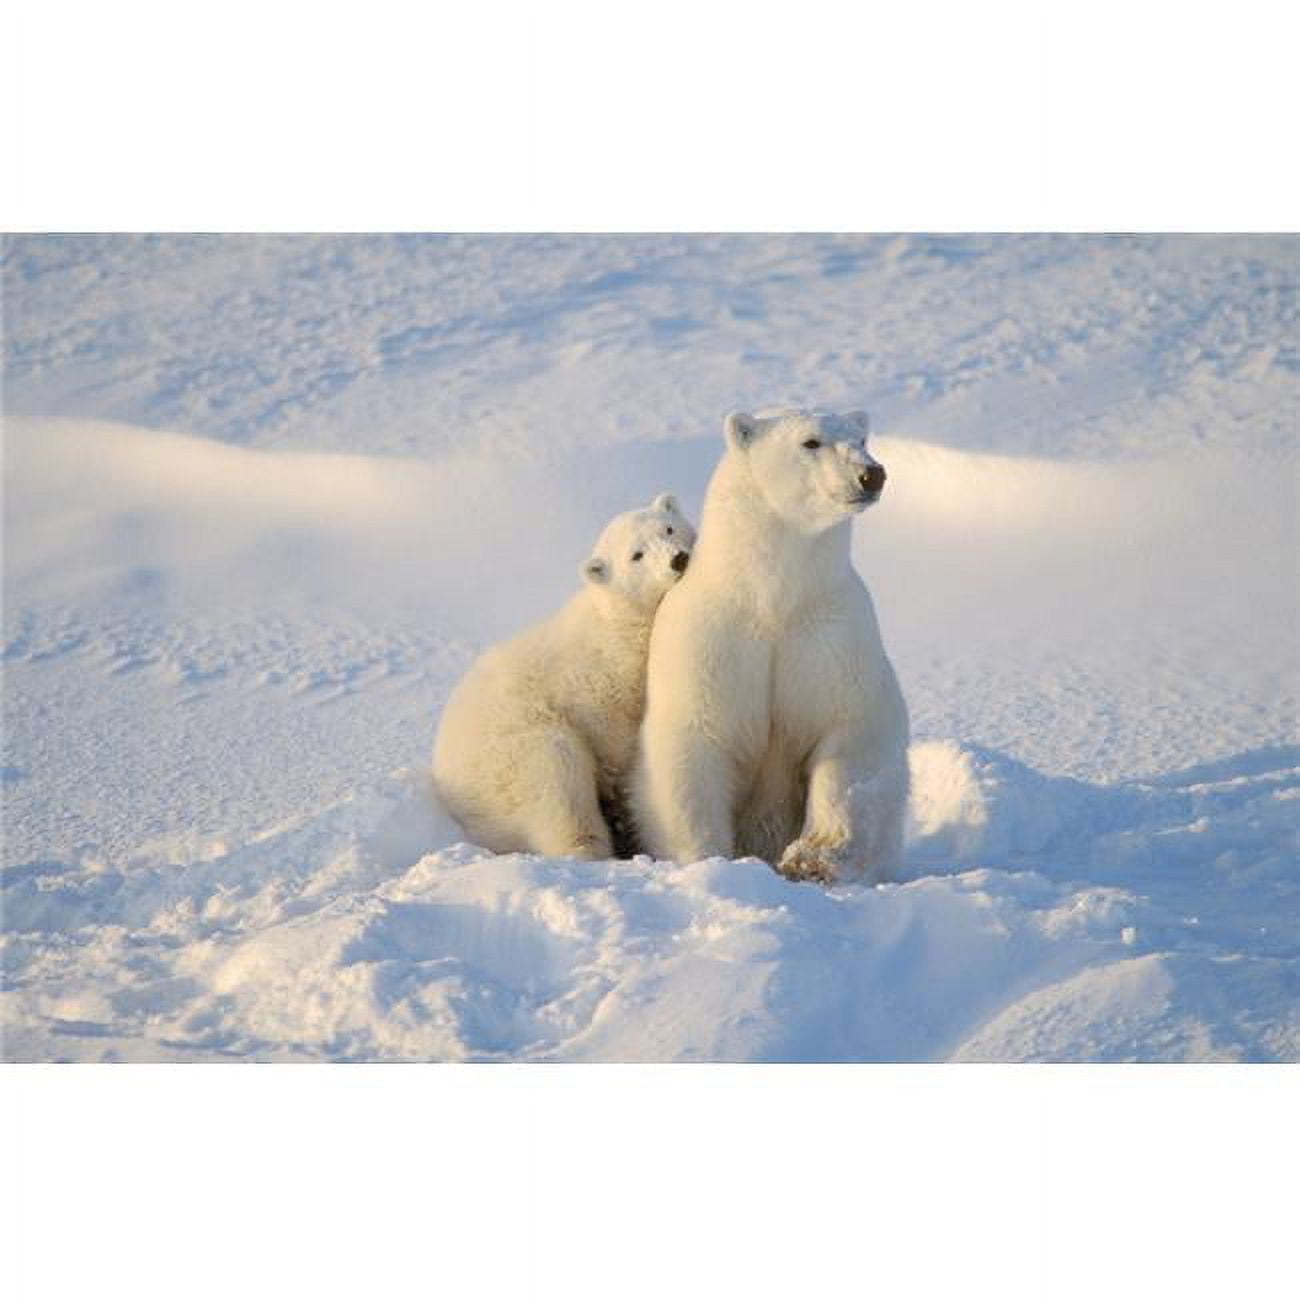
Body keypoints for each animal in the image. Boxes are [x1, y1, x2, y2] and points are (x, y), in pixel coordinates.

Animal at [432, 493, 696, 860]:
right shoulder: (599, 686)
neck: (620, 626)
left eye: (669, 528)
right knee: (558, 784)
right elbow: (614, 743)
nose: (678, 559)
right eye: (637, 555)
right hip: (512, 754)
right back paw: (589, 847)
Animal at [631, 408, 909, 885]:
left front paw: (811, 859)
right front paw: (710, 860)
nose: (871, 474)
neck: (774, 600)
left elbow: (850, 734)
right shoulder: (712, 642)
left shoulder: (831, 638)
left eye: (862, 439)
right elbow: (694, 743)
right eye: (811, 441)